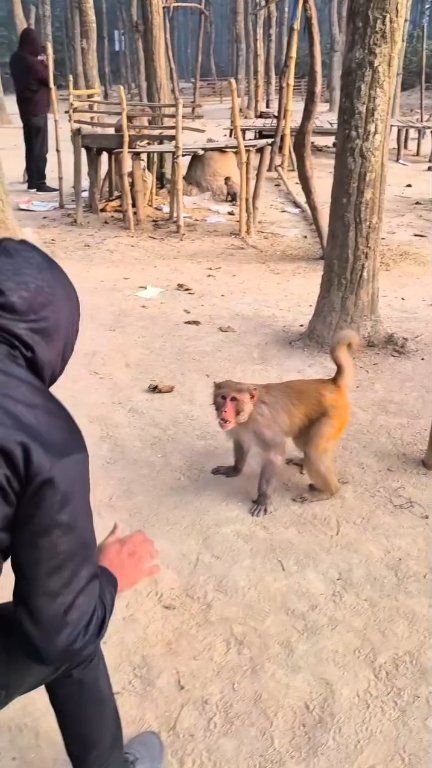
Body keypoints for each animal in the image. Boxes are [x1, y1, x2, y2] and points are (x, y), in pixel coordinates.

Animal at [211, 330, 359, 517]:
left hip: (334, 416)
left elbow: (274, 454)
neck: (249, 414)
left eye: (233, 399)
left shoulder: (263, 425)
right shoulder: (239, 430)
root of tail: (331, 383)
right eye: (223, 397)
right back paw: (303, 461)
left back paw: (328, 491)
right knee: (303, 442)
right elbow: (242, 444)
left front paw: (263, 498)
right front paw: (235, 469)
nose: (224, 411)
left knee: (314, 453)